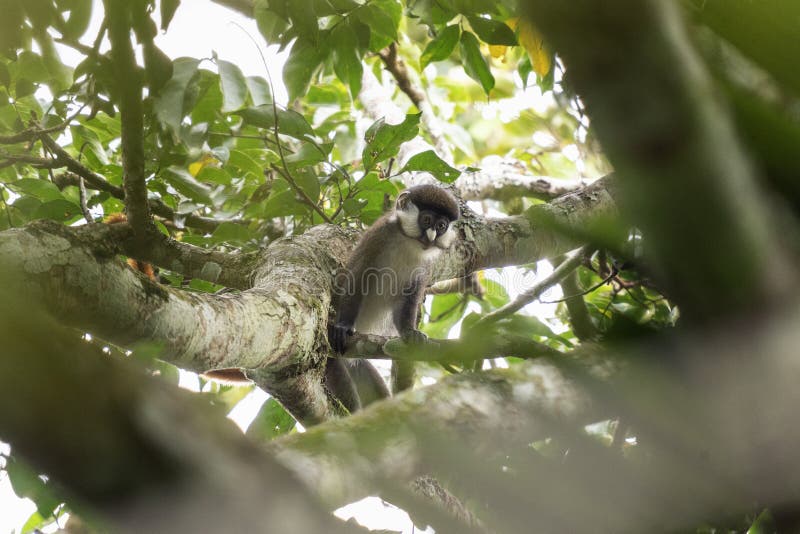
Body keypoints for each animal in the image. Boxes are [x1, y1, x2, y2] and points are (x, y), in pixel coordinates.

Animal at [328, 184, 460, 409]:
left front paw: (410, 333)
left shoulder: (426, 265)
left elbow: (407, 299)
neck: (408, 242)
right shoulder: (378, 236)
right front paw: (343, 326)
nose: (431, 236)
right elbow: (357, 279)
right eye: (426, 220)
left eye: (441, 225)